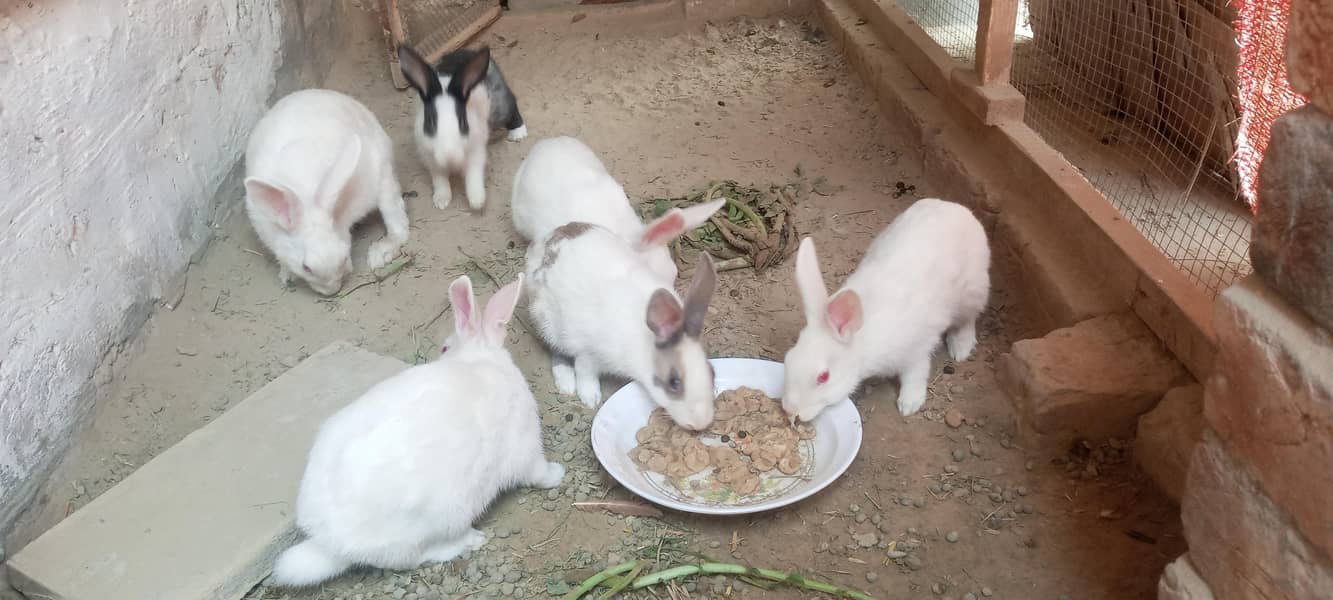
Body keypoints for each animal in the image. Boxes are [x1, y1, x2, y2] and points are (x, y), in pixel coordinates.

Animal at [243, 89, 408, 296]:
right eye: (306, 267)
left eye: (343, 257)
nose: (333, 291)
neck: (306, 199)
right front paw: (287, 275)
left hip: (383, 178)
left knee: (398, 224)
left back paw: (380, 253)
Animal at [270, 273, 565, 587]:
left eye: (444, 348)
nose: (442, 352)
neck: (481, 360)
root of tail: (328, 545)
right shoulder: (526, 450)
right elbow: (539, 474)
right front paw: (558, 474)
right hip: (437, 522)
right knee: (418, 556)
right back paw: (471, 540)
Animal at [398, 44, 526, 211]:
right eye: (430, 123)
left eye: (463, 123)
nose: (449, 156)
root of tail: (468, 51)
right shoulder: (431, 160)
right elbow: (440, 180)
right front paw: (441, 201)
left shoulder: (476, 152)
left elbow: (473, 176)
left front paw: (477, 201)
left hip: (499, 107)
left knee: (512, 104)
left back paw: (518, 133)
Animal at [525, 221, 722, 430]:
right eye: (674, 383)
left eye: (711, 372)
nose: (701, 423)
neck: (645, 344)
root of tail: (545, 240)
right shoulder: (589, 354)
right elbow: (585, 373)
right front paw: (590, 398)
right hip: (547, 323)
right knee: (556, 352)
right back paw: (566, 383)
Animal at [782, 198, 990, 421]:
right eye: (788, 358)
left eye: (823, 377)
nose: (791, 411)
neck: (861, 341)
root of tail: (955, 207)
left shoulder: (916, 351)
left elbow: (916, 375)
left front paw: (909, 404)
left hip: (972, 291)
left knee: (969, 319)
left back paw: (961, 348)